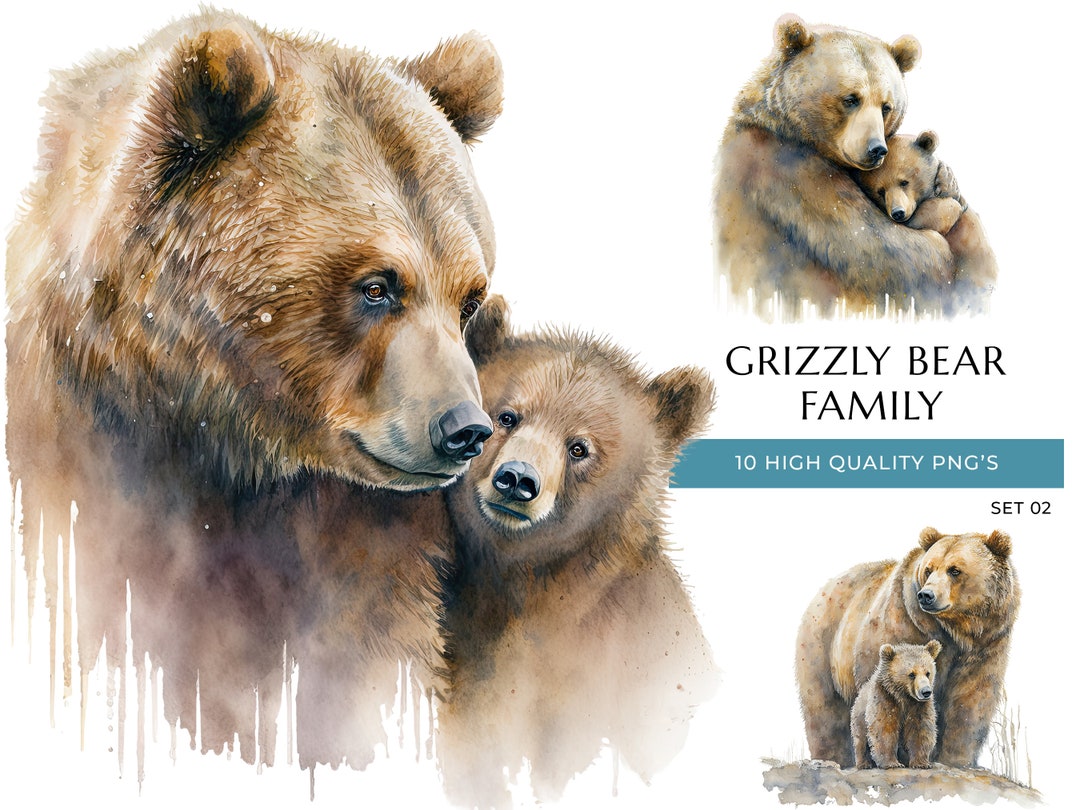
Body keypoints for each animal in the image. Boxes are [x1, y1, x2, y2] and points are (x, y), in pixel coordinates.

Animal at [851, 640, 941, 769]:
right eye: (911, 674)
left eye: (928, 673)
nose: (926, 692)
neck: (904, 697)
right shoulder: (885, 698)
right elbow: (884, 728)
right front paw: (892, 763)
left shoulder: (919, 706)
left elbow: (919, 729)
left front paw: (921, 763)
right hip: (859, 716)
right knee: (861, 740)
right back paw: (864, 763)